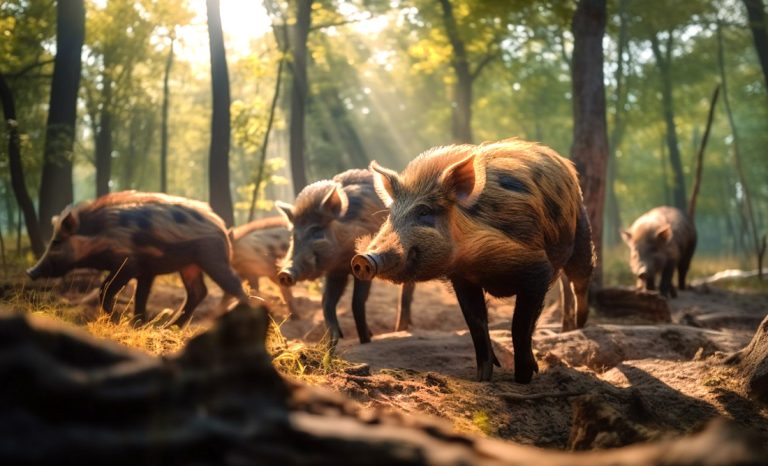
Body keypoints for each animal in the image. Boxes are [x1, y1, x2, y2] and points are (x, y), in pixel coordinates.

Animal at [26, 191, 247, 326]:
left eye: (56, 242)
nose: (30, 271)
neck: (99, 235)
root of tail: (222, 227)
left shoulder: (128, 264)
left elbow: (105, 288)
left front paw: (114, 321)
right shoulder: (146, 271)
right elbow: (141, 297)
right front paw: (136, 324)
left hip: (213, 258)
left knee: (234, 284)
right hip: (190, 266)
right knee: (198, 292)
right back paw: (169, 327)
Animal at [275, 169, 416, 344]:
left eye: (316, 231)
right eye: (294, 236)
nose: (285, 273)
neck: (342, 257)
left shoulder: (364, 266)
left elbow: (357, 301)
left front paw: (365, 340)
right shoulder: (335, 272)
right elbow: (327, 301)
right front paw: (333, 342)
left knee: (407, 291)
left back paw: (402, 329)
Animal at [351, 139, 595, 383]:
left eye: (424, 212)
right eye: (391, 216)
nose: (363, 258)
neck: (476, 261)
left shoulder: (537, 270)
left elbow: (520, 326)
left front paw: (523, 378)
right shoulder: (462, 279)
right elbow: (476, 325)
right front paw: (482, 378)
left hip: (582, 232)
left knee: (579, 281)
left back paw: (580, 325)